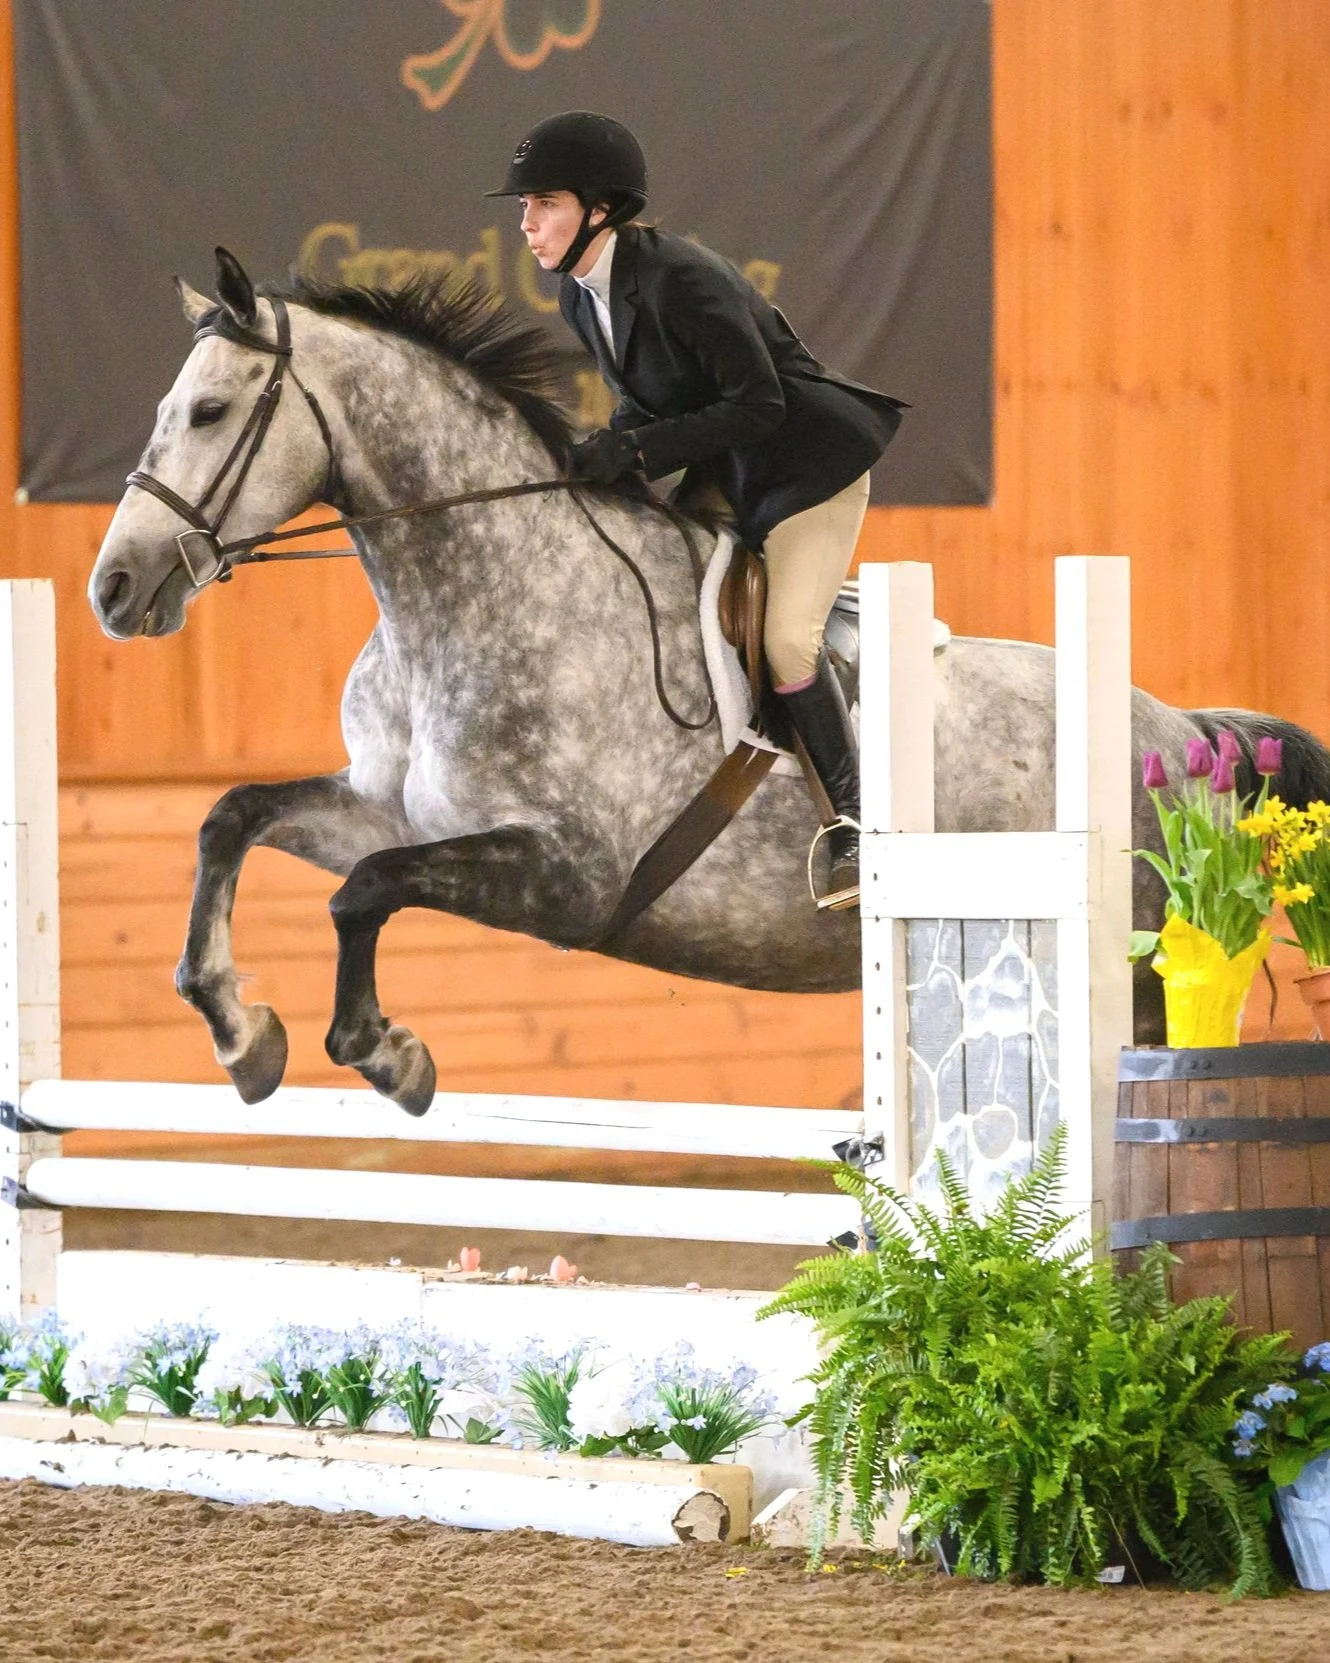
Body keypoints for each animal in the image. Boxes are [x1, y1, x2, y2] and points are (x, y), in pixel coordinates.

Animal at [88, 248, 1330, 1115]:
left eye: (209, 411)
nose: (114, 587)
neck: (471, 592)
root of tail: (1181, 731)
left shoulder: (569, 879)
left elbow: (361, 893)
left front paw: (386, 1054)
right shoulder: (388, 808)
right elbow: (234, 817)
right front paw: (243, 1037)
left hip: (1140, 971)